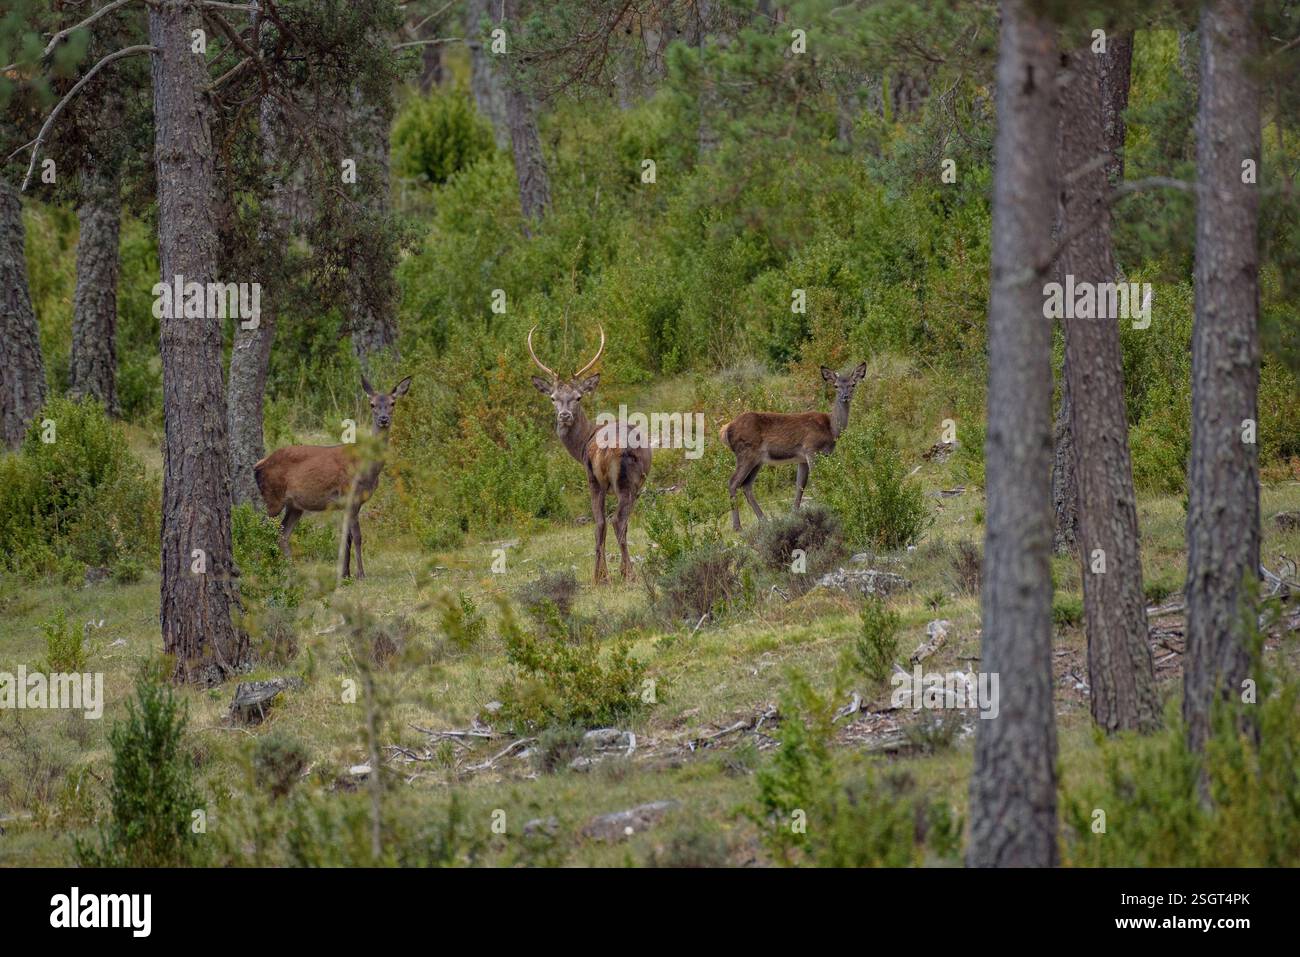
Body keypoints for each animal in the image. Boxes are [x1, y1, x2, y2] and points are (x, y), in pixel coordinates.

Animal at [253, 375, 412, 580]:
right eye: (372, 404)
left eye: (393, 403)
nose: (383, 419)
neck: (367, 467)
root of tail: (259, 465)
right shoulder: (350, 494)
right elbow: (357, 536)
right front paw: (361, 574)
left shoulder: (352, 502)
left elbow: (347, 537)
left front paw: (345, 574)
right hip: (273, 498)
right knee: (260, 528)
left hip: (294, 506)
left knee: (282, 534)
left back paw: (291, 571)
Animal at [528, 324, 651, 583]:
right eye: (553, 398)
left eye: (578, 397)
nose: (564, 415)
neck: (583, 442)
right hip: (621, 482)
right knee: (614, 521)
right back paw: (622, 573)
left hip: (602, 480)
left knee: (605, 522)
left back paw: (606, 575)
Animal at [719, 363, 867, 531]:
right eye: (835, 386)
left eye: (853, 384)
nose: (845, 396)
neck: (831, 428)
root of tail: (725, 429)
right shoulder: (811, 449)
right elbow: (817, 480)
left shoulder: (803, 459)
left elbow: (800, 486)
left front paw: (794, 514)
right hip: (746, 453)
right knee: (733, 482)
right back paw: (738, 527)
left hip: (757, 460)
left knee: (746, 485)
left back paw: (764, 520)